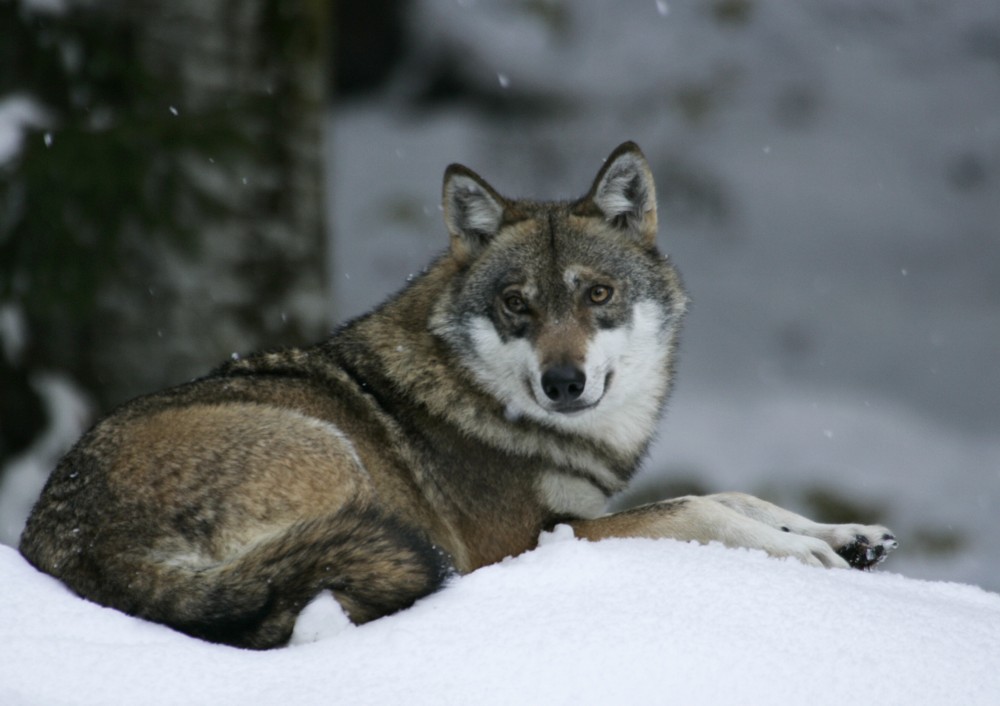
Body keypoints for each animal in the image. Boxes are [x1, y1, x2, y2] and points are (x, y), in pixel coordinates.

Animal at [19, 142, 897, 649]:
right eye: (517, 304)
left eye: (598, 295)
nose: (564, 381)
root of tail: (78, 545)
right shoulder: (539, 538)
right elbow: (698, 506)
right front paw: (806, 554)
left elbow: (739, 495)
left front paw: (846, 535)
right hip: (339, 459)